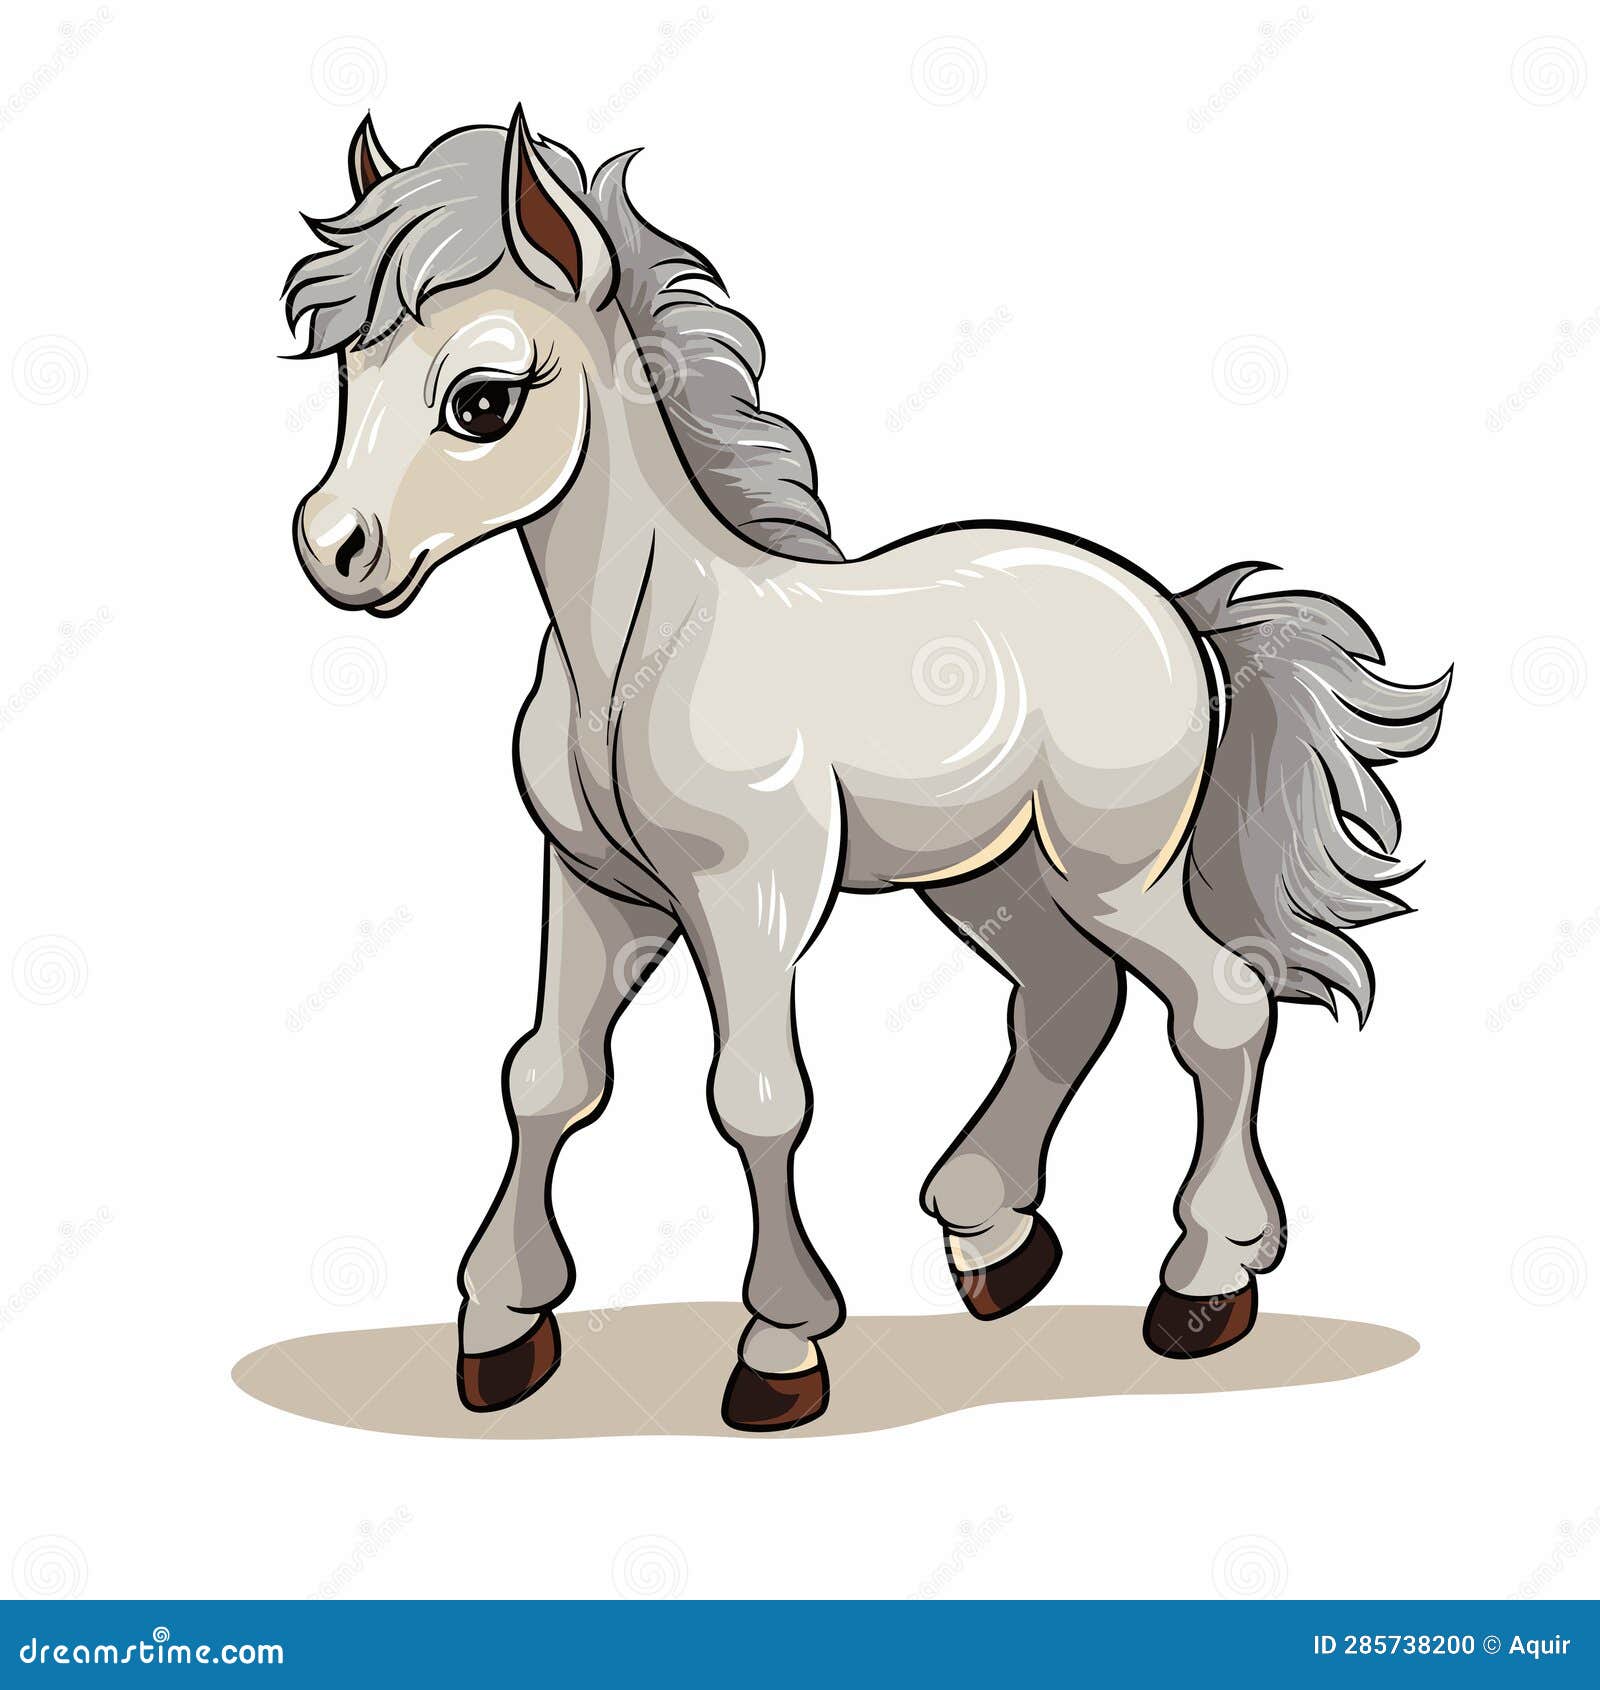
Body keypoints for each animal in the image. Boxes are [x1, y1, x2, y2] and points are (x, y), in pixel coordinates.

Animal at [286, 111, 1449, 1432]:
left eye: (482, 400)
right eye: (349, 374)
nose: (335, 550)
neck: (643, 648)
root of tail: (1178, 615)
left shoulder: (750, 895)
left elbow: (756, 1095)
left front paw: (781, 1350)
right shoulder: (597, 888)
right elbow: (547, 1077)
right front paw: (502, 1326)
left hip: (1113, 874)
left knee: (1221, 1005)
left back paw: (1202, 1286)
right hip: (989, 877)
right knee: (1067, 997)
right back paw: (994, 1240)